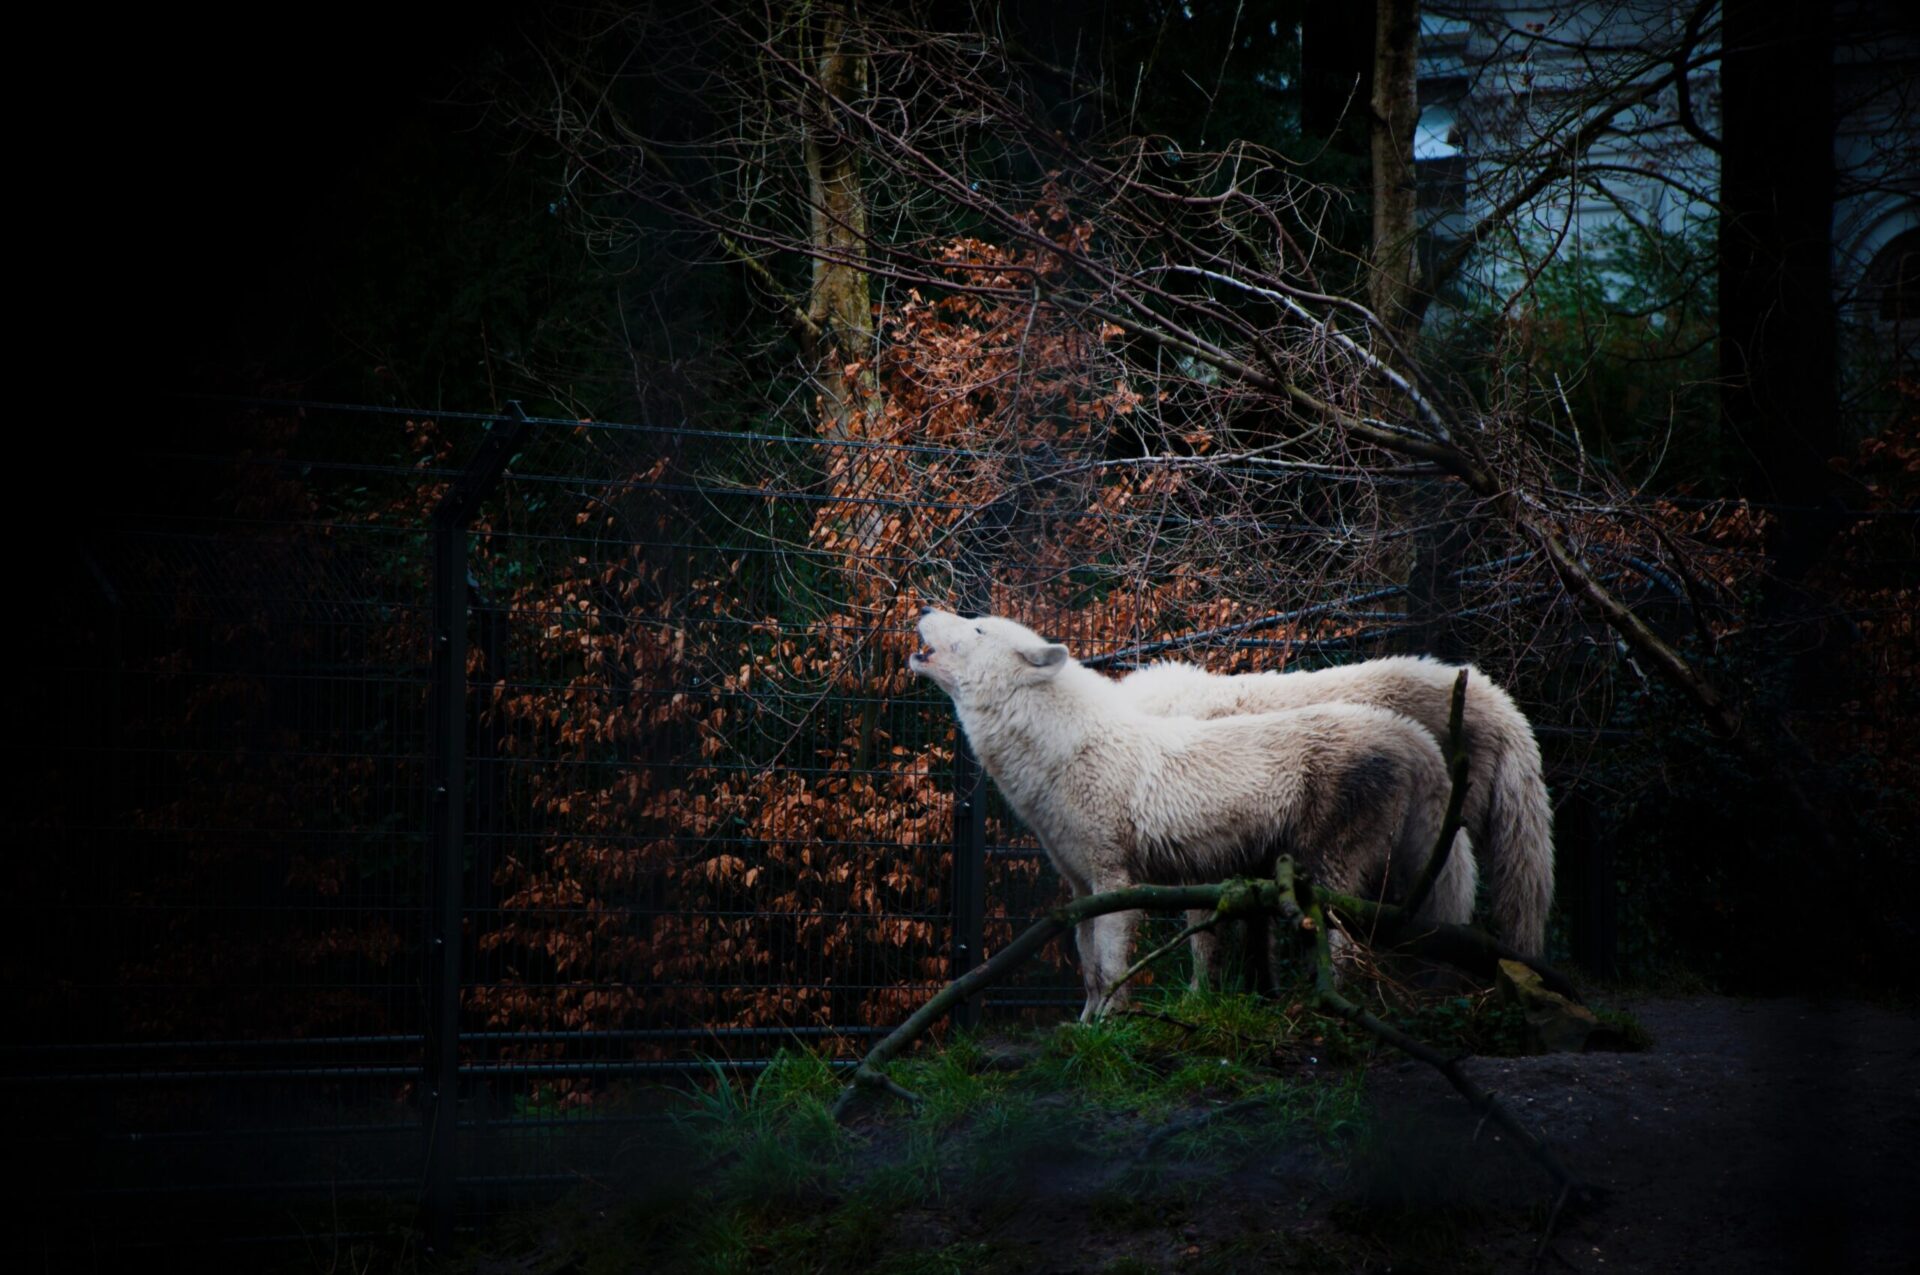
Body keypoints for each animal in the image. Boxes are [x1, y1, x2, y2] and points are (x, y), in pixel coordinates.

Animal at [909, 611, 1477, 1019]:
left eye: (977, 626)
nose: (924, 609)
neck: (1066, 750)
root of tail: (1408, 733)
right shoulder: (1080, 888)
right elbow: (1089, 970)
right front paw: (1083, 1027)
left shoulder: (1116, 882)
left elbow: (1112, 969)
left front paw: (1111, 1028)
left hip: (1325, 873)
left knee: (1341, 947)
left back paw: (1323, 1007)